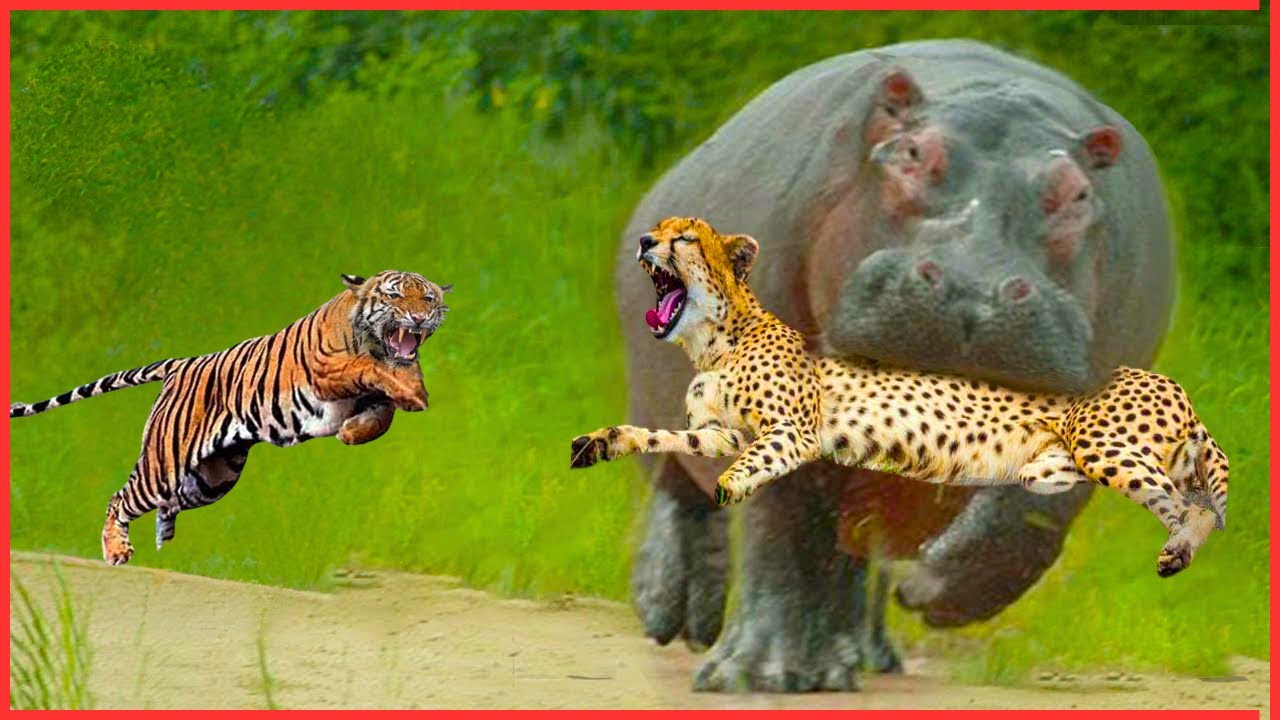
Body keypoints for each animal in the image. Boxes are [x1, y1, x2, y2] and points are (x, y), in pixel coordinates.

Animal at [10, 271, 451, 566]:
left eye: (427, 299)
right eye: (395, 296)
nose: (418, 319)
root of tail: (180, 363)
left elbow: (383, 412)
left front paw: (359, 428)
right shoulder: (328, 369)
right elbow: (369, 370)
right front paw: (411, 390)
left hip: (213, 478)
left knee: (169, 504)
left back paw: (164, 541)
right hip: (162, 467)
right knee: (121, 498)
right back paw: (117, 550)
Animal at [615, 40, 1173, 692]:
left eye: (1079, 193)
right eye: (909, 154)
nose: (971, 288)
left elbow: (1032, 516)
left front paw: (928, 588)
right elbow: (782, 519)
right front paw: (757, 678)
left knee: (850, 556)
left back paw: (856, 657)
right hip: (661, 396)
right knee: (679, 488)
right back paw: (674, 615)